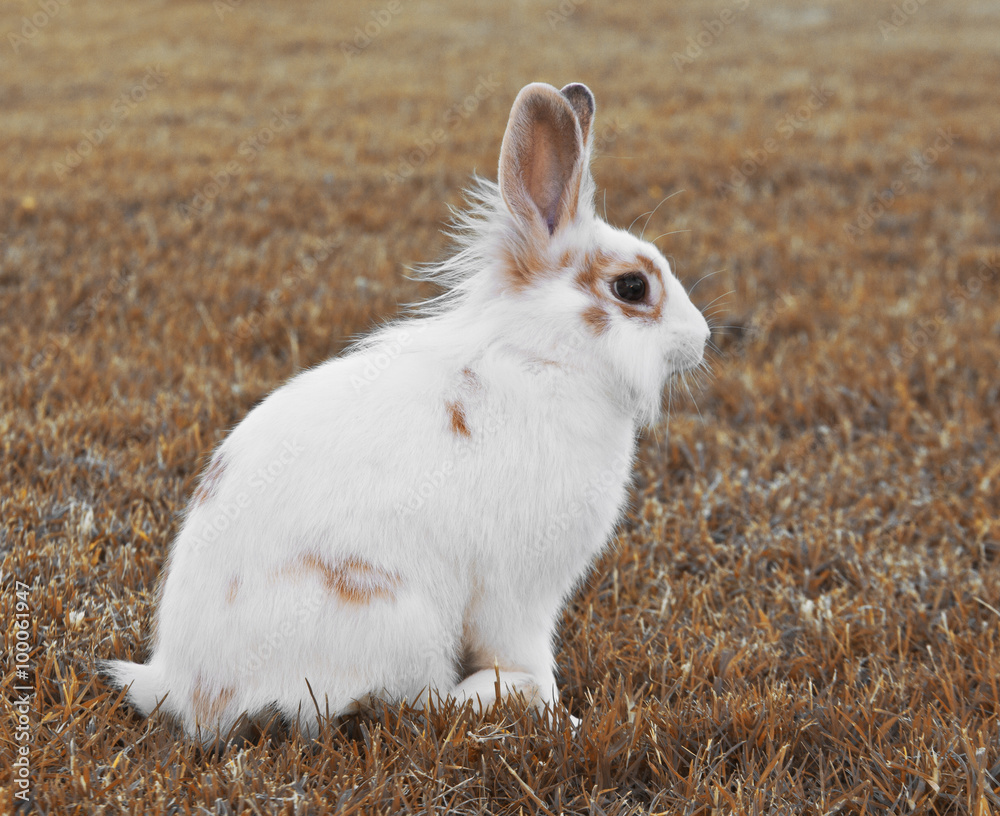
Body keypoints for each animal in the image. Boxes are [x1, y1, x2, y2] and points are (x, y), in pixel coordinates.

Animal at [102, 80, 711, 742]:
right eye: (632, 288)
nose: (702, 339)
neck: (545, 357)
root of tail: (187, 689)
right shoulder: (519, 594)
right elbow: (532, 660)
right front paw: (564, 718)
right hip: (403, 620)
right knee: (414, 706)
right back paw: (494, 693)